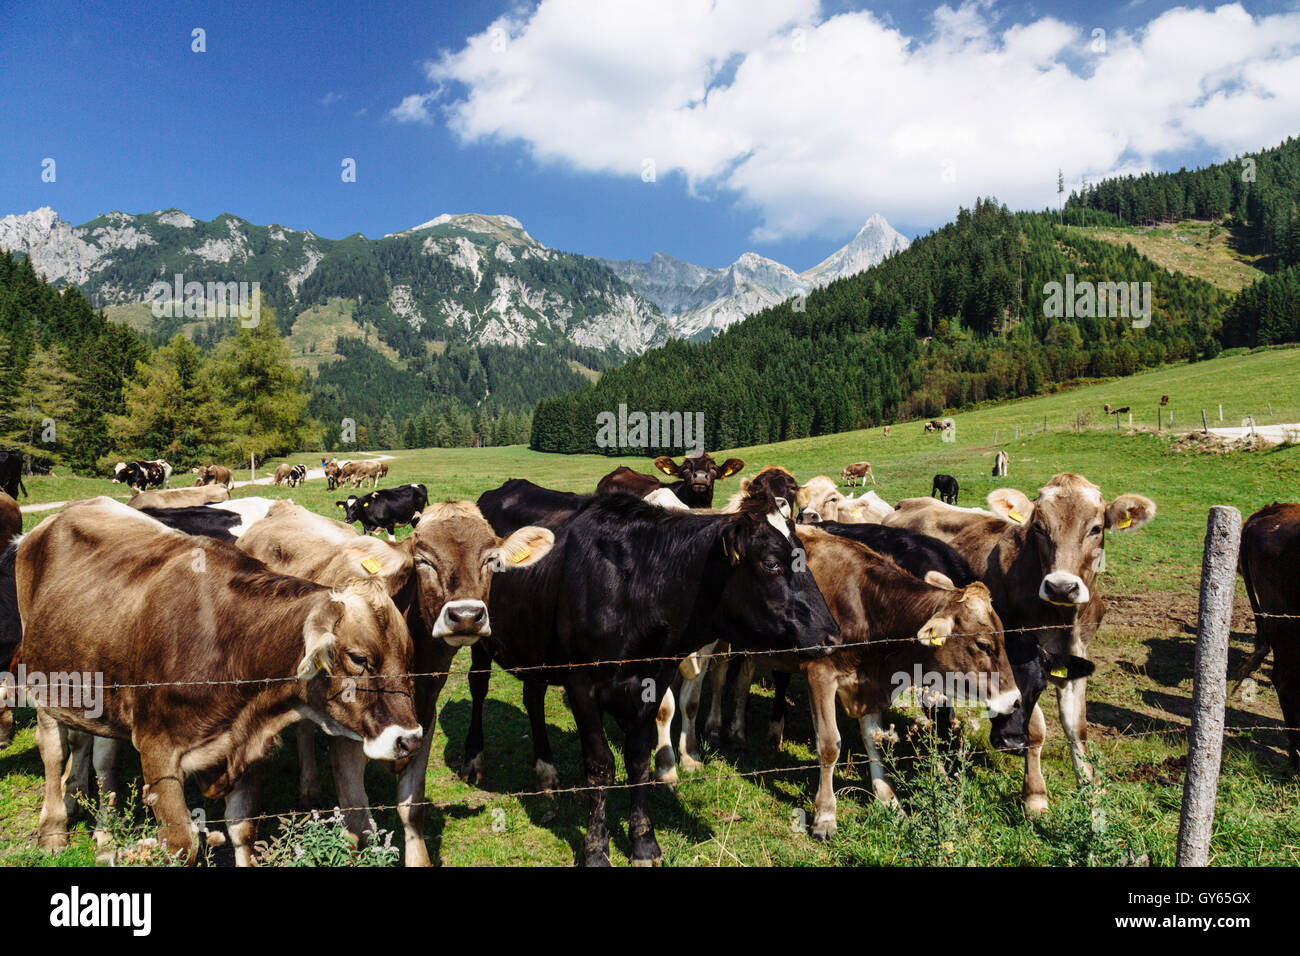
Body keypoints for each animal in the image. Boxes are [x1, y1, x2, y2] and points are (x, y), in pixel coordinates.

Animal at [13, 497, 421, 864]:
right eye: (358, 658)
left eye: (408, 654)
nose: (410, 739)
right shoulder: (157, 752)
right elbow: (183, 846)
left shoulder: (248, 748)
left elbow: (243, 830)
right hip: (44, 681)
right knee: (53, 750)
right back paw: (53, 831)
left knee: (102, 757)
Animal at [238, 498, 555, 865]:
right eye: (423, 560)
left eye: (491, 559)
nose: (466, 616)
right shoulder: (346, 740)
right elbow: (358, 826)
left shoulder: (425, 723)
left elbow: (412, 809)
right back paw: (310, 788)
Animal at [466, 485, 839, 865]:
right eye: (771, 563)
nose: (832, 636)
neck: (636, 584)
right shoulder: (581, 683)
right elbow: (600, 765)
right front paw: (596, 848)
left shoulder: (653, 680)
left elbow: (639, 760)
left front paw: (644, 842)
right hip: (478, 632)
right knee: (478, 686)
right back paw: (473, 760)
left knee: (533, 697)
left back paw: (545, 770)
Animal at [884, 474, 1154, 812]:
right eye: (1038, 527)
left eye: (1096, 528)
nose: (1061, 587)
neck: (1062, 618)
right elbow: (1036, 731)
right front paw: (1035, 797)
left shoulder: (1076, 655)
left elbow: (1077, 728)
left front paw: (1092, 794)